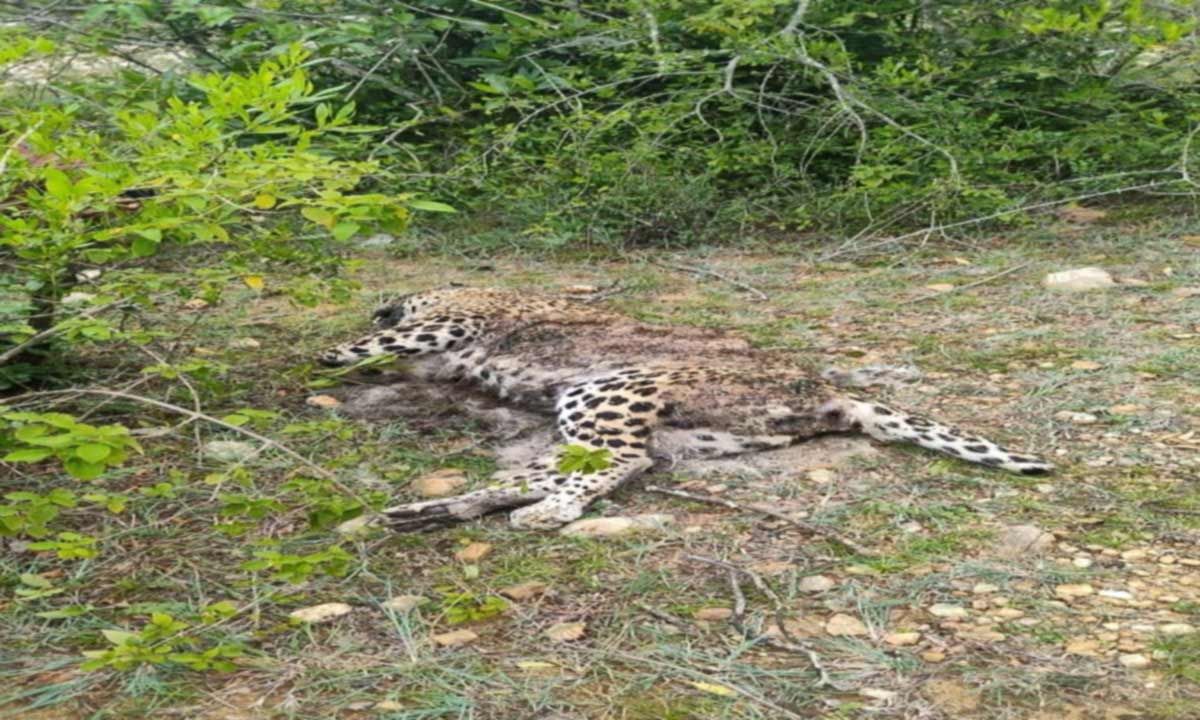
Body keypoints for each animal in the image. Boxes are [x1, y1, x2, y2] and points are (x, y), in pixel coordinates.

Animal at [318, 286, 1053, 531]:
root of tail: (830, 390)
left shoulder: (443, 323)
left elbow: (364, 344)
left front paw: (329, 354)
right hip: (690, 434)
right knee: (578, 471)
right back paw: (433, 511)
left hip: (607, 390)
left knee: (613, 465)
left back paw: (534, 517)